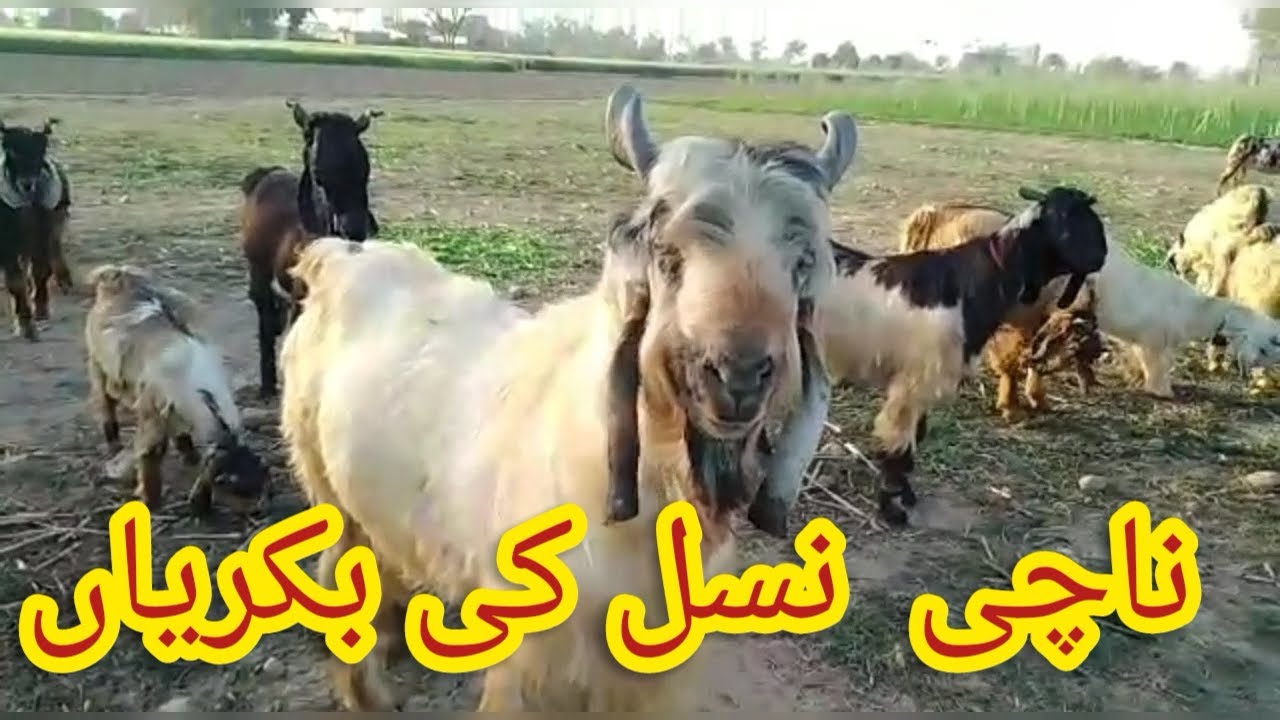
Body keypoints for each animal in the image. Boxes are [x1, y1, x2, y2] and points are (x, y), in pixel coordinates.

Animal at [1, 117, 73, 341]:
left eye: (41, 150)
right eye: (10, 150)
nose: (27, 184)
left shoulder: (43, 234)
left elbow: (41, 271)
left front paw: (40, 309)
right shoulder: (7, 243)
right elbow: (15, 281)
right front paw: (25, 323)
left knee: (54, 251)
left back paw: (64, 280)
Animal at [84, 264, 270, 516]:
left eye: (261, 485)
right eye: (238, 490)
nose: (259, 510)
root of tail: (119, 273)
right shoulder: (152, 412)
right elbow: (151, 452)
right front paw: (151, 500)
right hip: (99, 366)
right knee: (105, 402)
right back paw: (113, 443)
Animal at [239, 99, 382, 400]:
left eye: (366, 169)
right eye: (318, 174)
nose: (354, 228)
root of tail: (266, 174)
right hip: (257, 267)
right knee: (264, 313)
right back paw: (266, 384)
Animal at [276, 83, 858, 711]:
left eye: (801, 263)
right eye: (668, 256)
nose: (739, 376)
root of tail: (334, 259)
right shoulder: (533, 659)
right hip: (328, 492)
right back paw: (368, 694)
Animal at [898, 201, 1104, 420]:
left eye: (1092, 352)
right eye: (1074, 347)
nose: (1089, 384)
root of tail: (933, 213)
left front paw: (1038, 399)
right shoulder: (1013, 323)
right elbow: (1010, 362)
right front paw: (1011, 408)